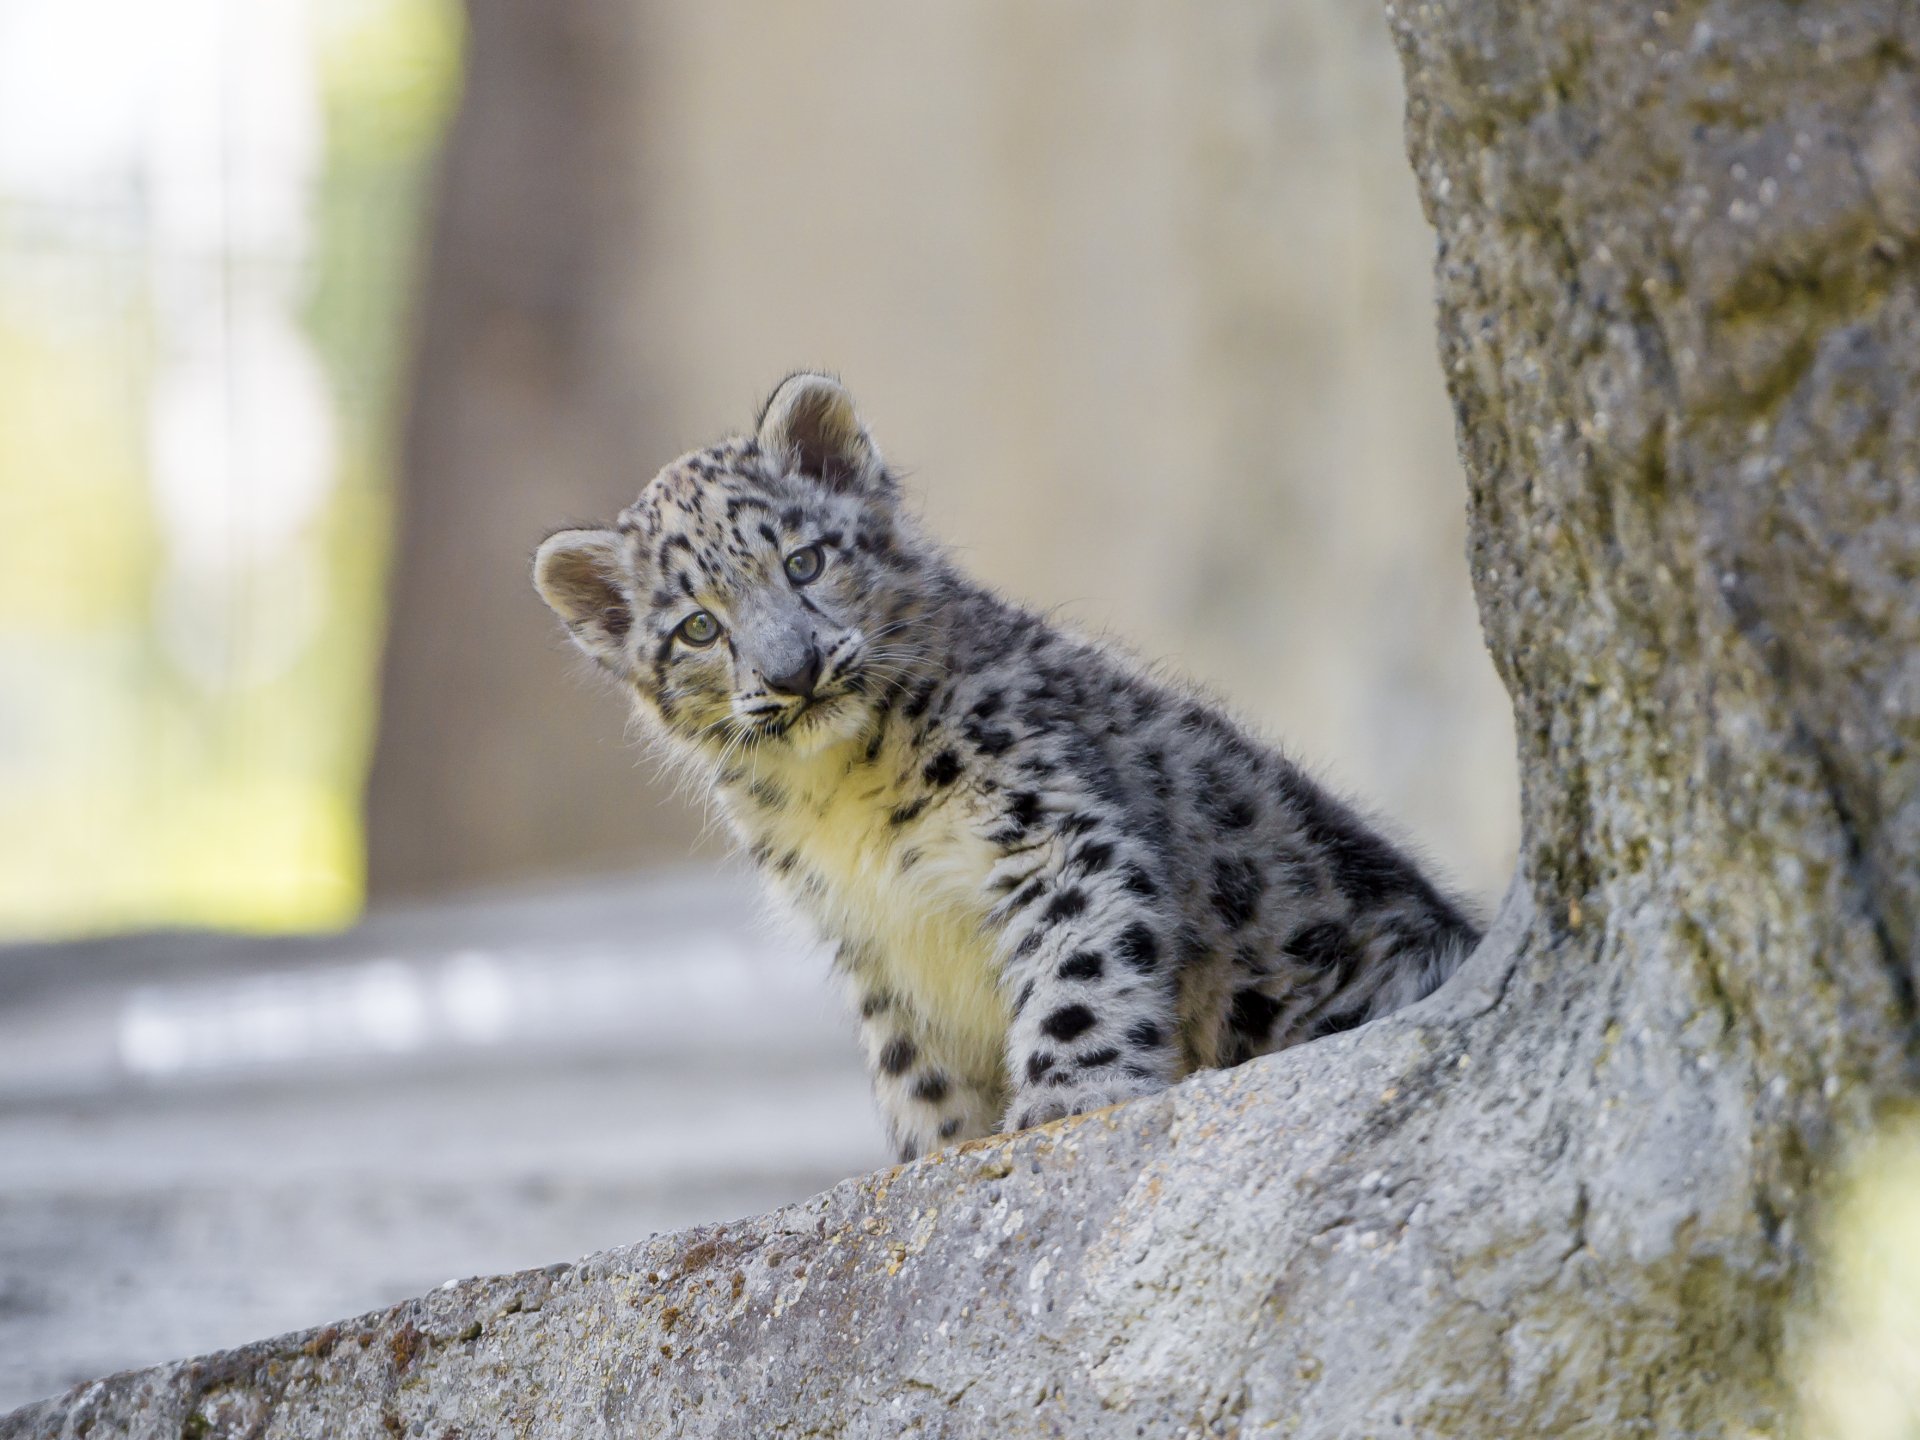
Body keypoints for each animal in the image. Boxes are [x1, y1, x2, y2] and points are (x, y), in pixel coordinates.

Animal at [533, 372, 1482, 1160]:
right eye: (697, 627)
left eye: (805, 560)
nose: (793, 670)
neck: (839, 799)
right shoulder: (875, 954)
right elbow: (915, 1073)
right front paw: (938, 1151)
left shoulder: (1050, 826)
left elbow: (1077, 965)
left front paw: (1067, 1101)